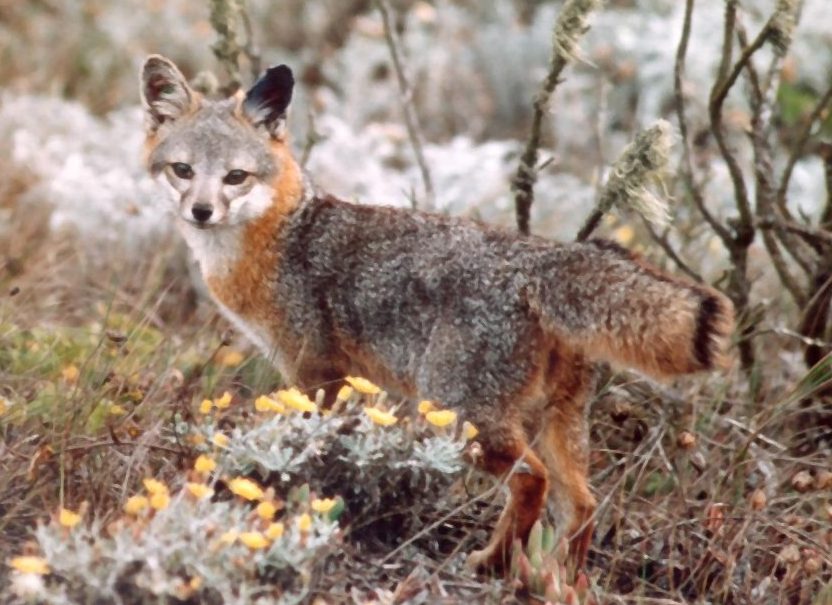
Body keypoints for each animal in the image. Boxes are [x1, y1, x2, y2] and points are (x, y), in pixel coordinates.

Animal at [140, 55, 734, 574]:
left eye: (236, 177)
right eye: (183, 170)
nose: (201, 211)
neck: (283, 235)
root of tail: (541, 257)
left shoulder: (315, 373)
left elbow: (311, 443)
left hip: (461, 414)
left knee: (532, 481)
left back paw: (492, 563)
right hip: (554, 423)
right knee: (583, 503)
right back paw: (561, 578)